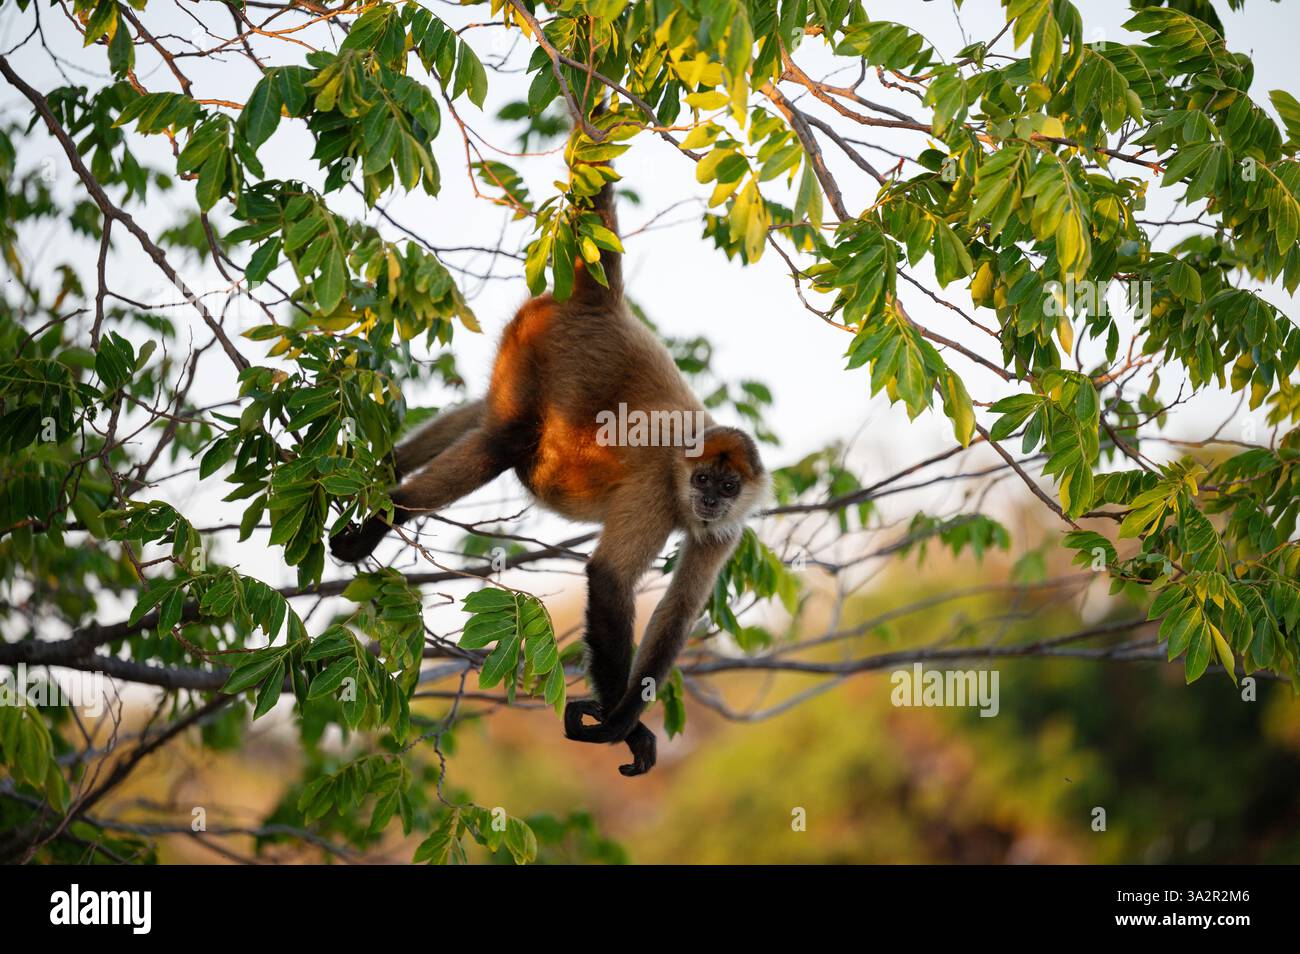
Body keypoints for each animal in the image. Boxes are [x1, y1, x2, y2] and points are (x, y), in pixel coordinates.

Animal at [329, 151, 767, 776]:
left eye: (728, 487)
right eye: (702, 478)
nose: (708, 499)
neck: (685, 481)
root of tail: (602, 305)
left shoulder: (726, 530)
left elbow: (679, 611)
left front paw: (630, 715)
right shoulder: (659, 492)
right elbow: (609, 579)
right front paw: (621, 726)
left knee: (484, 417)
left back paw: (385, 471)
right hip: (537, 341)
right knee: (506, 440)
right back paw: (382, 520)